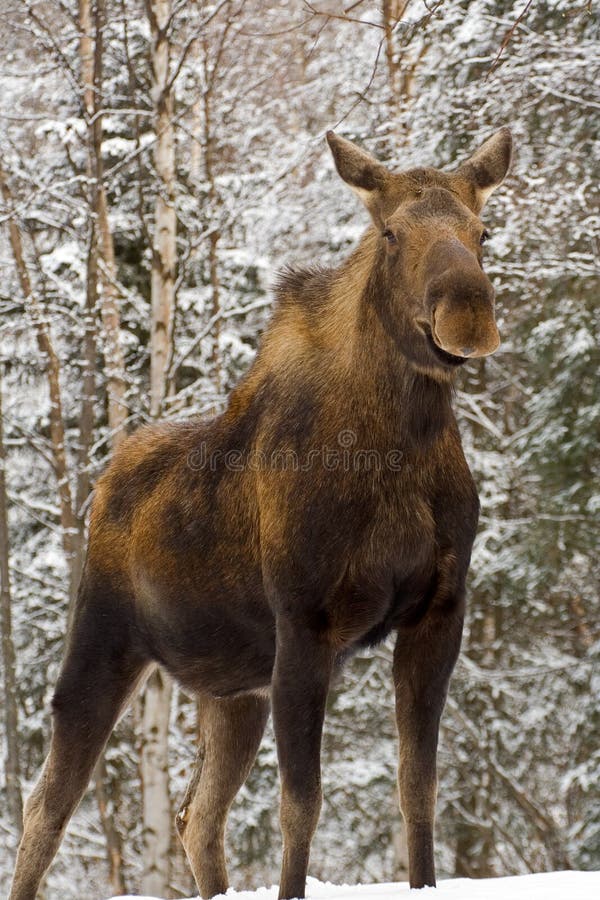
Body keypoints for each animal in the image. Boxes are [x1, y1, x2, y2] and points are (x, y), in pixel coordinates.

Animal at [10, 126, 512, 900]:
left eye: (482, 229)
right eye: (390, 231)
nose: (469, 312)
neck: (400, 446)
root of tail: (102, 482)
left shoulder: (440, 611)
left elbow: (418, 789)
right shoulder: (305, 621)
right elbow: (300, 804)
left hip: (232, 687)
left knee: (196, 816)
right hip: (103, 639)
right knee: (47, 805)